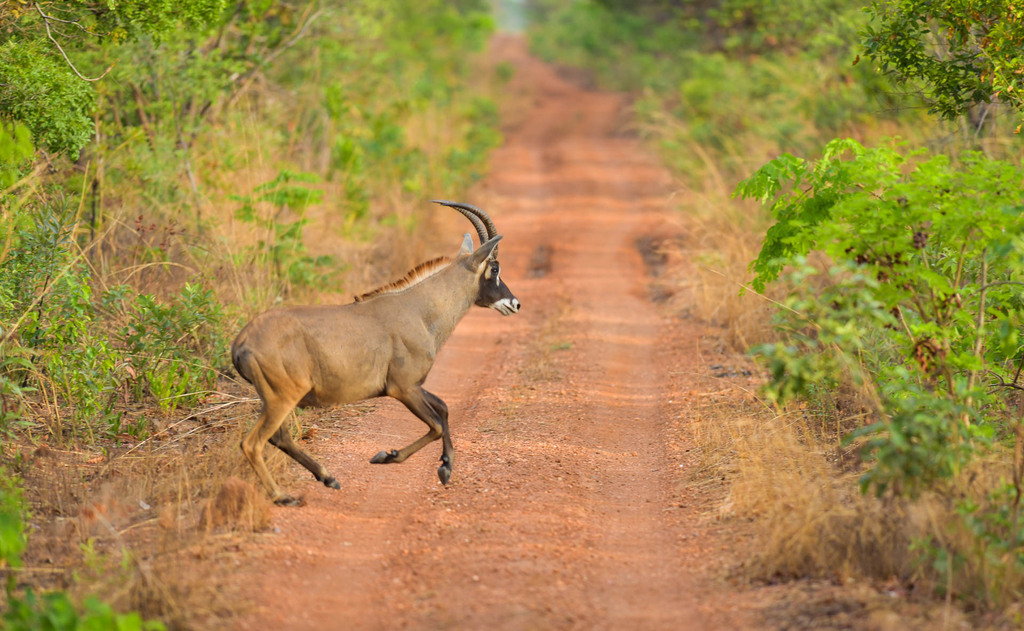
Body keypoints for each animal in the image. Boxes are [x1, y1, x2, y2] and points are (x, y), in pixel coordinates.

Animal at [231, 200, 520, 505]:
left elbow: (443, 407)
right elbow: (437, 423)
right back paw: (282, 496)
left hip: (277, 399)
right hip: (282, 398)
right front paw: (388, 456)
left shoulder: (414, 386)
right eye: (495, 268)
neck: (420, 309)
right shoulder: (402, 388)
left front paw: (446, 466)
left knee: (279, 438)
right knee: (253, 443)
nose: (515, 303)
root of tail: (241, 342)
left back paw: (328, 478)